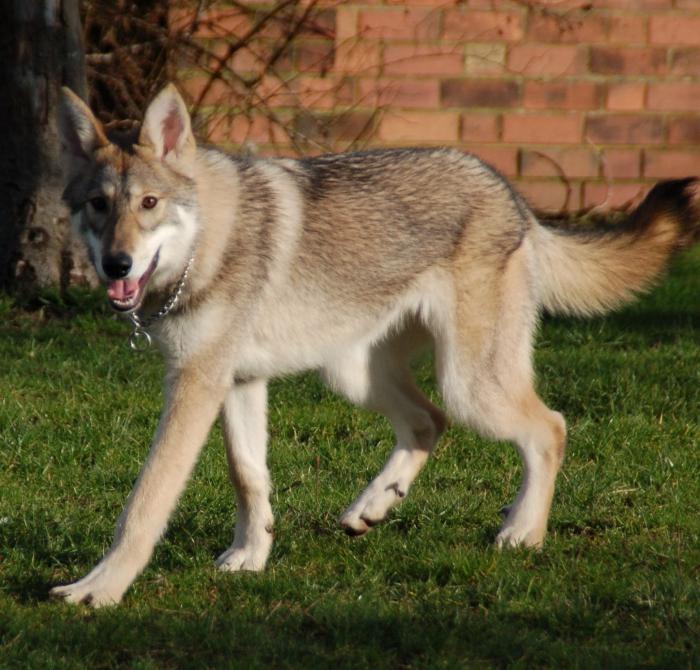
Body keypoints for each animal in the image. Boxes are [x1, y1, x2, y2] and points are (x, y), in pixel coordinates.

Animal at [52, 84, 696, 608]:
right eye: (99, 205)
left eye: (149, 204)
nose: (116, 265)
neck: (210, 240)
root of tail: (512, 196)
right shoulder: (236, 382)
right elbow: (249, 477)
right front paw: (251, 558)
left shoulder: (196, 386)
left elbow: (144, 504)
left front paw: (99, 589)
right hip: (355, 375)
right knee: (428, 422)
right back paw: (373, 507)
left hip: (468, 386)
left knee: (549, 428)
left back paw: (523, 533)